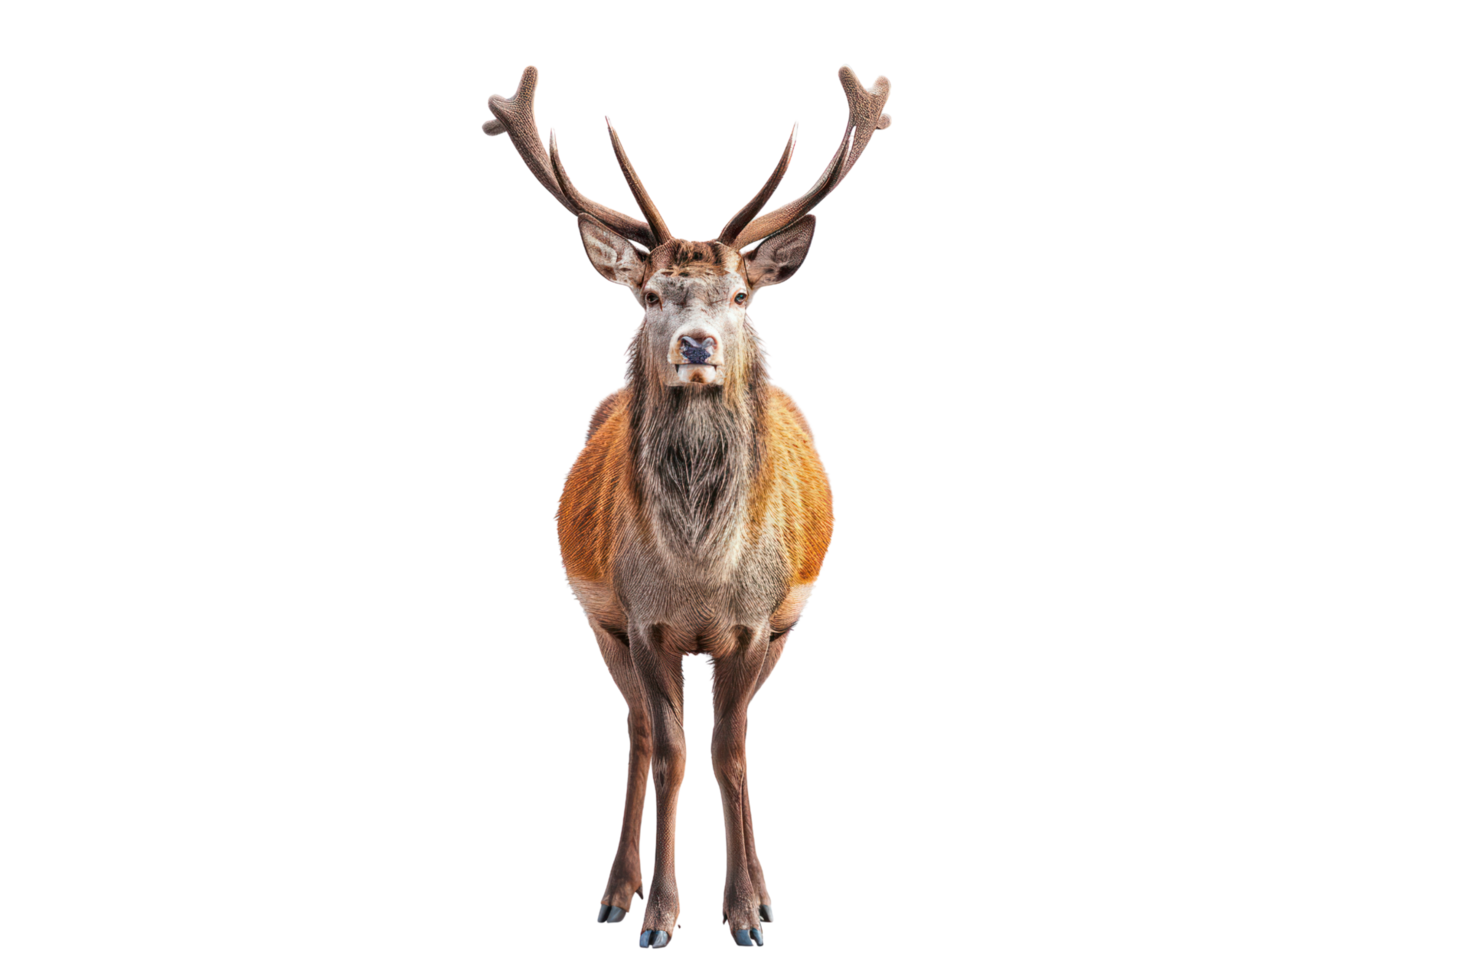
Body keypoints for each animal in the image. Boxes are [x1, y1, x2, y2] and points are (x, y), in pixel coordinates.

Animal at [481, 63, 894, 950]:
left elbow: (731, 752)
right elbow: (671, 752)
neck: (701, 575)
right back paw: (614, 892)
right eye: (650, 296)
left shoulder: (760, 621)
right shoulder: (640, 621)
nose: (696, 344)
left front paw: (747, 913)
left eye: (739, 295)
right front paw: (660, 917)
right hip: (596, 620)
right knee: (639, 735)